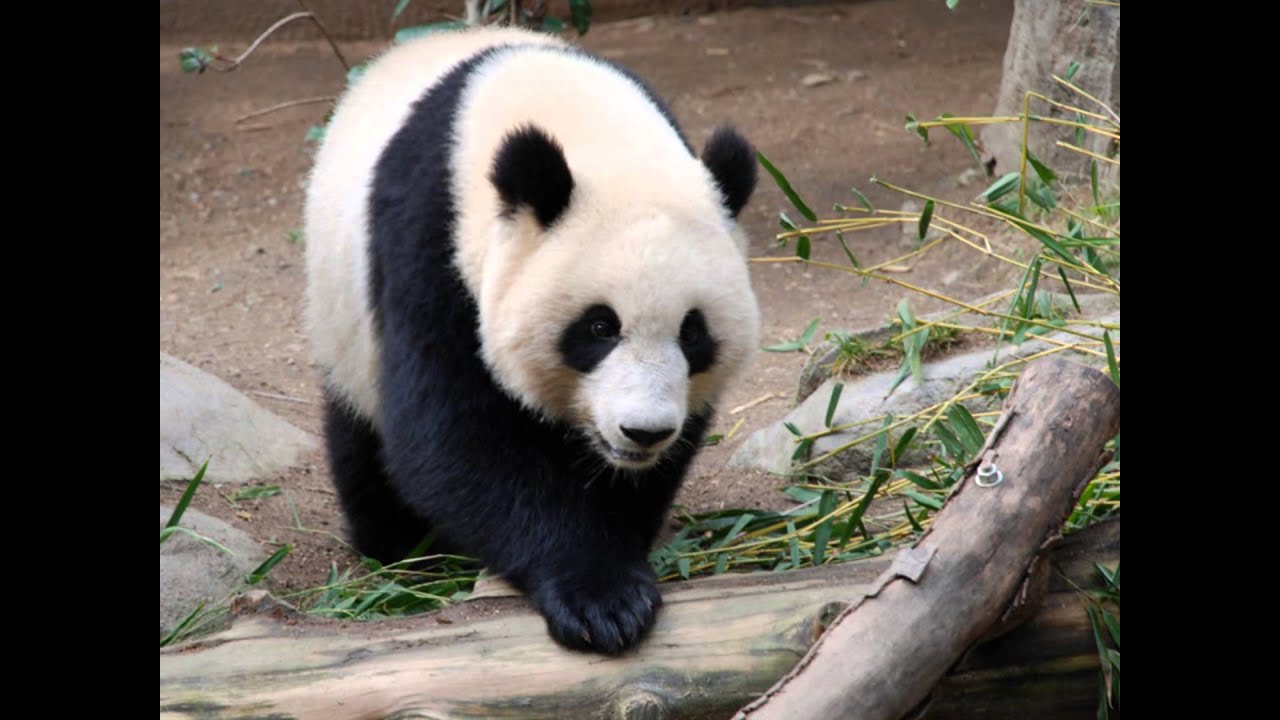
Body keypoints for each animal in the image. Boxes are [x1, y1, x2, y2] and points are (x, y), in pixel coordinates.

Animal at [303, 26, 761, 655]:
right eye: (599, 327)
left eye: (692, 332)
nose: (642, 432)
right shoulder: (431, 244)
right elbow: (456, 434)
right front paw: (599, 597)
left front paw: (620, 552)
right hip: (343, 316)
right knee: (360, 432)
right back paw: (399, 547)